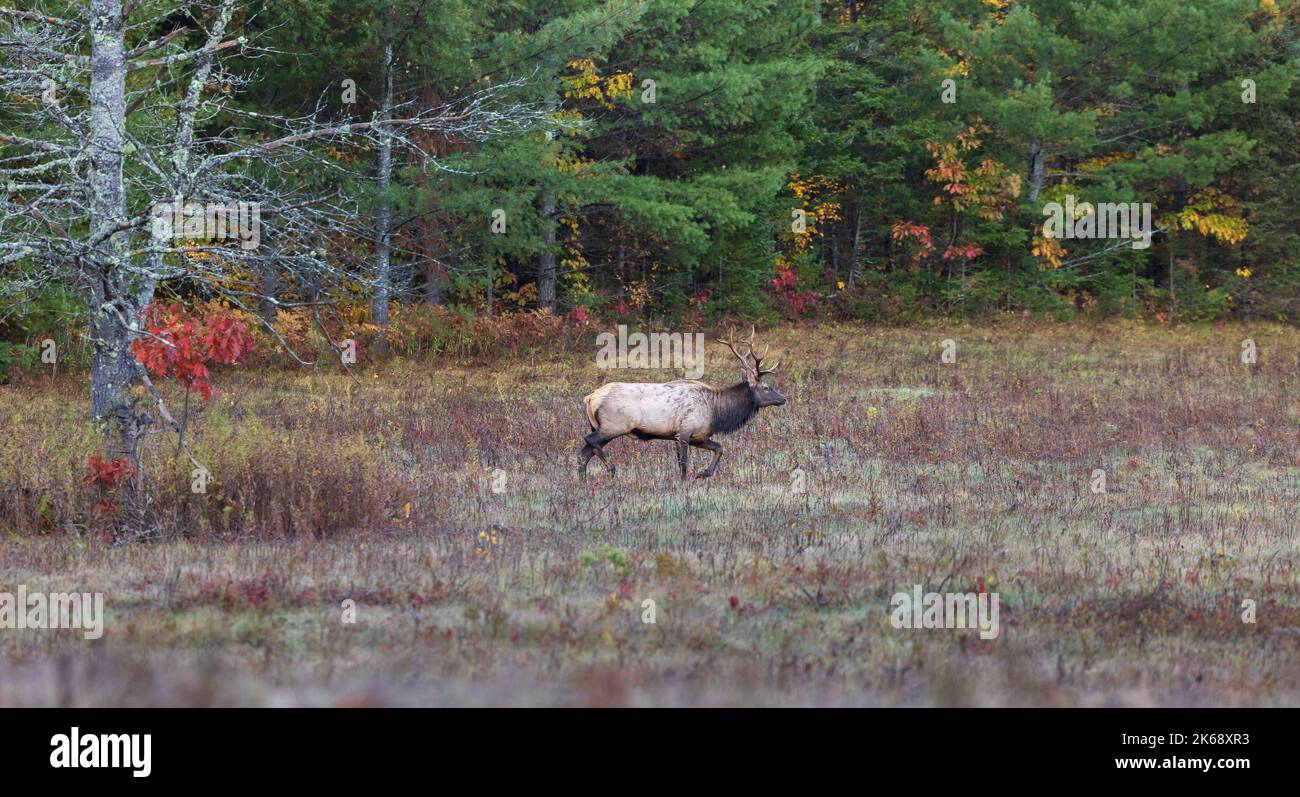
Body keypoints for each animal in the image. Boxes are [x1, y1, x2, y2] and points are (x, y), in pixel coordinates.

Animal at [579, 326, 786, 480]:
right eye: (766, 387)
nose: (783, 398)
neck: (717, 413)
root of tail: (590, 398)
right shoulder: (684, 430)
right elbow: (683, 463)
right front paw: (685, 482)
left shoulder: (699, 435)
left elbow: (719, 448)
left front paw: (704, 473)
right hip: (615, 425)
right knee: (589, 441)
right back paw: (611, 469)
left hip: (602, 426)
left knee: (585, 452)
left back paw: (583, 480)